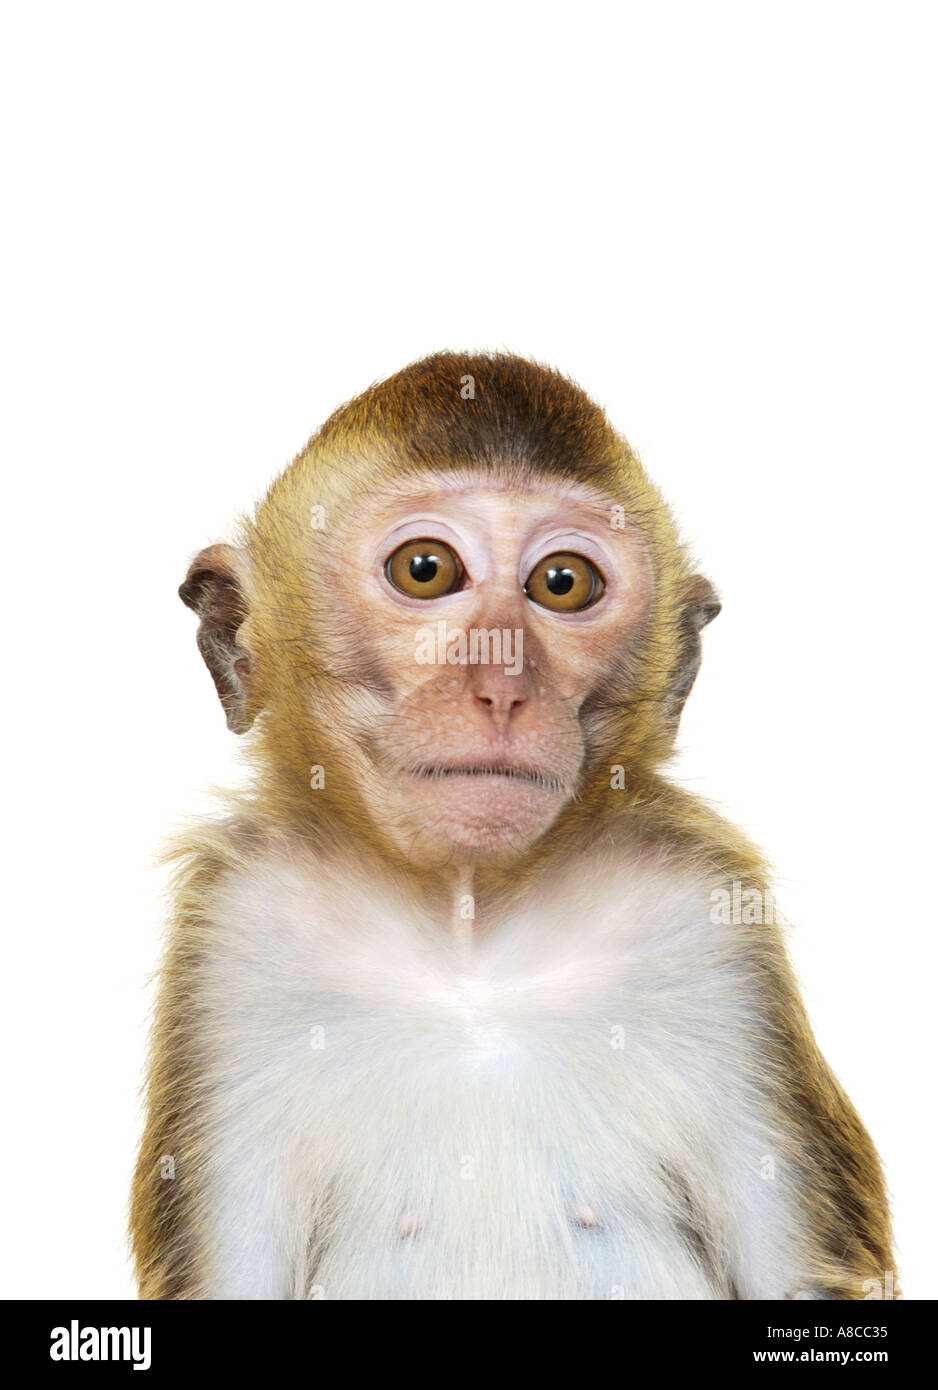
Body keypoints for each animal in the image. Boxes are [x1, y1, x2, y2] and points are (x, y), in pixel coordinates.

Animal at [131, 352, 893, 1300]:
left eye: (562, 583)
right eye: (425, 569)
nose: (502, 688)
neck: (469, 933)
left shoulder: (709, 921)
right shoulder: (236, 933)